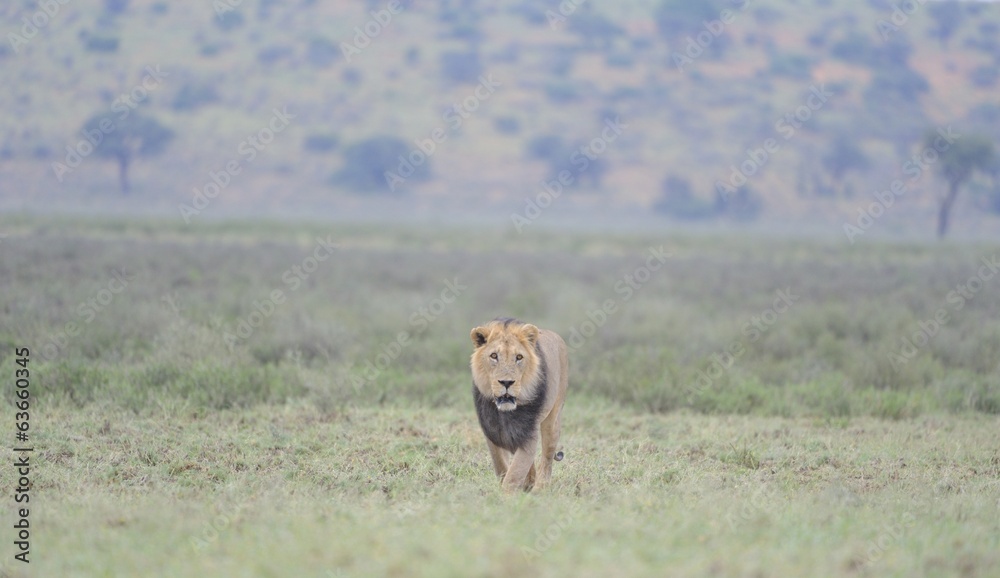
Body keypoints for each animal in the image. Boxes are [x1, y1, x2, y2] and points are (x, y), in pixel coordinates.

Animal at [470, 317, 569, 492]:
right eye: (494, 356)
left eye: (519, 357)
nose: (506, 382)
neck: (505, 413)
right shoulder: (492, 431)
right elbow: (501, 465)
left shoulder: (529, 432)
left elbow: (516, 470)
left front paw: (506, 495)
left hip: (552, 420)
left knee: (547, 457)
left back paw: (540, 488)